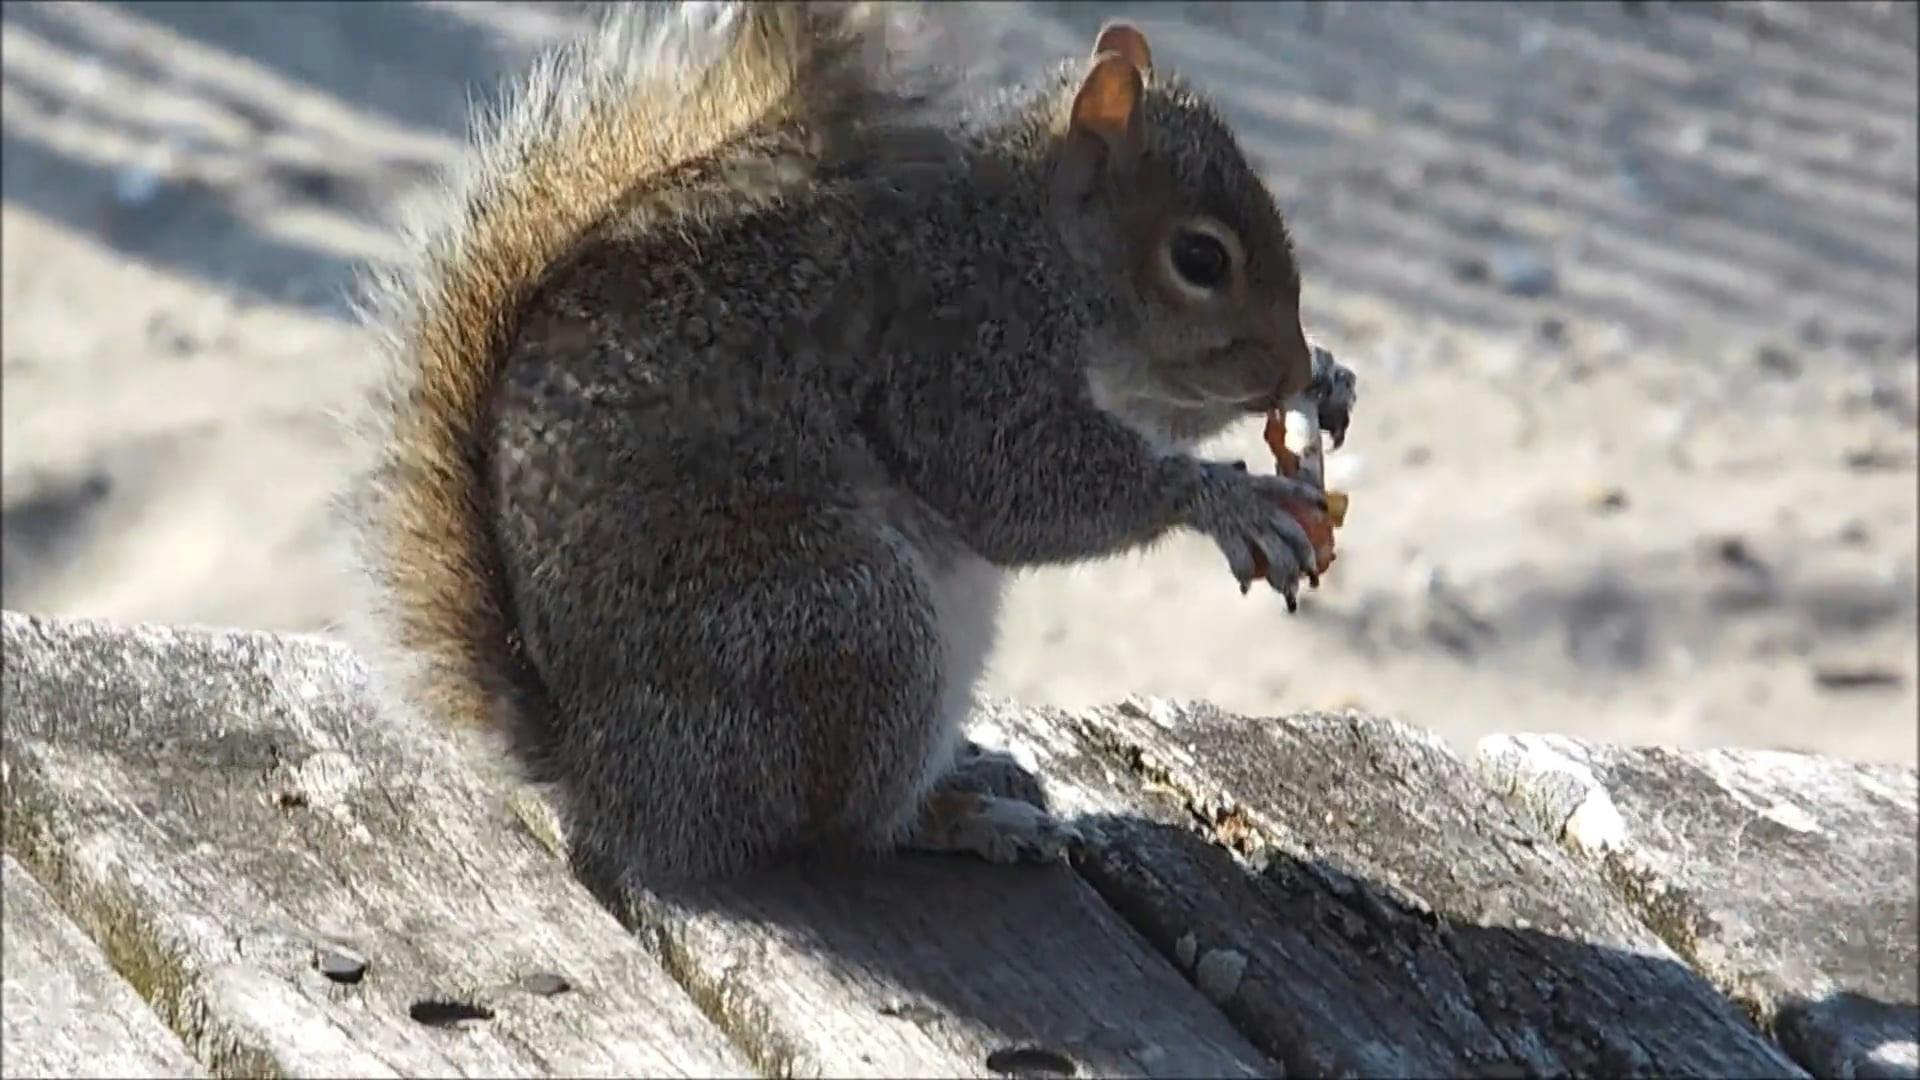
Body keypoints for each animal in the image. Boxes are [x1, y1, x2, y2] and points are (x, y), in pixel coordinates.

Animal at [341, 1, 1358, 887]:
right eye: (1200, 258)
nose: (1284, 365)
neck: (1034, 236)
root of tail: (606, 775)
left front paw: (1324, 380)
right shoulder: (953, 341)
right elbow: (1014, 486)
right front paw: (1229, 499)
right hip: (848, 626)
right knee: (844, 831)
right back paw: (963, 818)